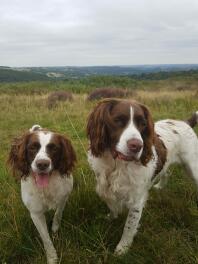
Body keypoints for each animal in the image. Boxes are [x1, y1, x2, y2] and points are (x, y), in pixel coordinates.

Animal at [8, 125, 76, 264]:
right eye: (32, 147)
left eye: (54, 148)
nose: (42, 164)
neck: (46, 188)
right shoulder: (35, 213)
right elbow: (45, 238)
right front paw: (52, 257)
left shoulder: (64, 197)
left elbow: (58, 214)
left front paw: (55, 228)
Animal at [87, 98, 198, 254]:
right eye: (118, 120)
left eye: (143, 124)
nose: (137, 146)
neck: (117, 165)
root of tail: (186, 122)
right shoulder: (105, 187)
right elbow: (112, 206)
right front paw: (110, 217)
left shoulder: (136, 200)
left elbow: (129, 226)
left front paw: (122, 249)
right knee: (167, 172)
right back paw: (160, 186)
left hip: (193, 167)